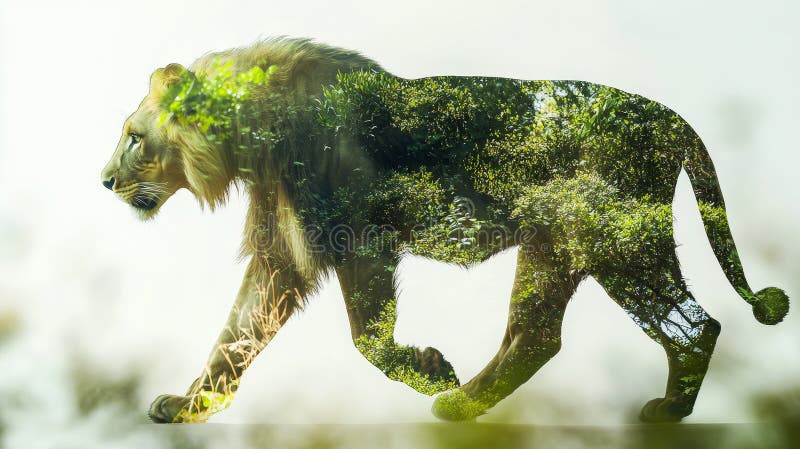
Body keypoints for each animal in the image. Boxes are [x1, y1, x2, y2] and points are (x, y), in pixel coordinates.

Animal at [101, 37, 789, 423]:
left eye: (134, 137)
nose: (104, 181)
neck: (251, 140)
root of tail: (670, 117)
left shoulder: (359, 238)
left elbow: (366, 338)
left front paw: (429, 369)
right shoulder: (282, 256)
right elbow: (233, 337)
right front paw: (190, 407)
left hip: (616, 239)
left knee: (698, 324)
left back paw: (669, 413)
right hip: (553, 246)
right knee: (537, 337)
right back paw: (463, 407)